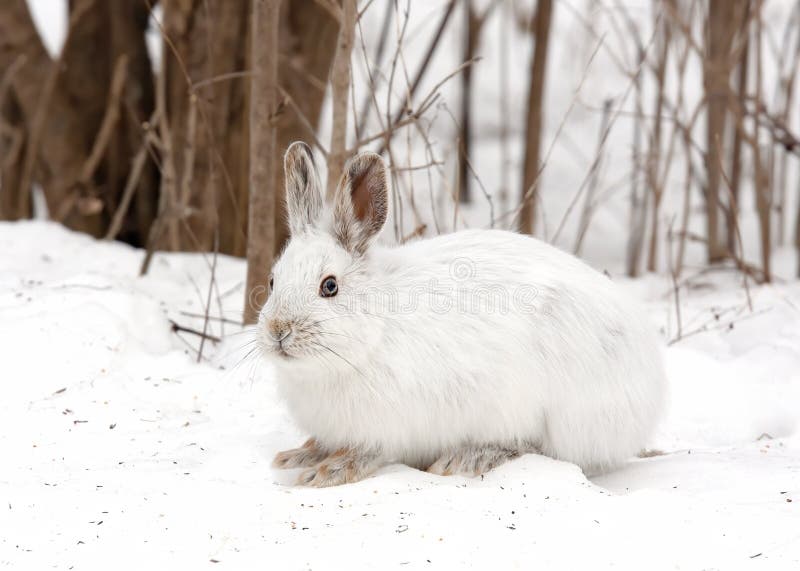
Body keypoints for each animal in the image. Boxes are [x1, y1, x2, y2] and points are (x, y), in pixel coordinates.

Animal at [258, 141, 667, 488]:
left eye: (329, 286)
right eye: (273, 280)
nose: (279, 330)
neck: (374, 329)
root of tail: (648, 400)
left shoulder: (391, 427)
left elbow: (371, 452)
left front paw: (328, 472)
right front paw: (299, 455)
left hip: (546, 411)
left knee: (535, 447)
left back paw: (466, 459)